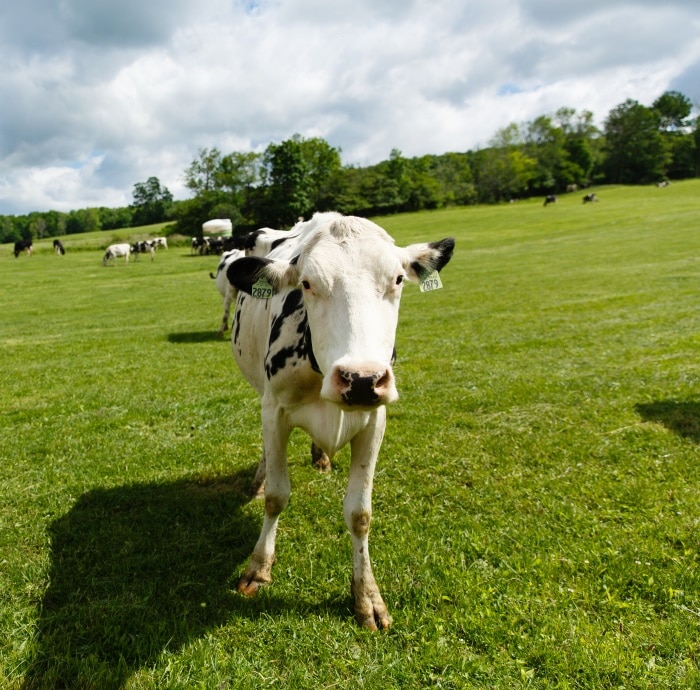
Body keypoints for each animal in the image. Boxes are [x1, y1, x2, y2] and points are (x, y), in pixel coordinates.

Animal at [226, 212, 455, 630]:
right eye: (306, 284)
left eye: (398, 280)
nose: (361, 378)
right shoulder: (275, 410)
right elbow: (277, 496)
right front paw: (258, 567)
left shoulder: (375, 419)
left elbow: (360, 513)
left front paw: (367, 596)